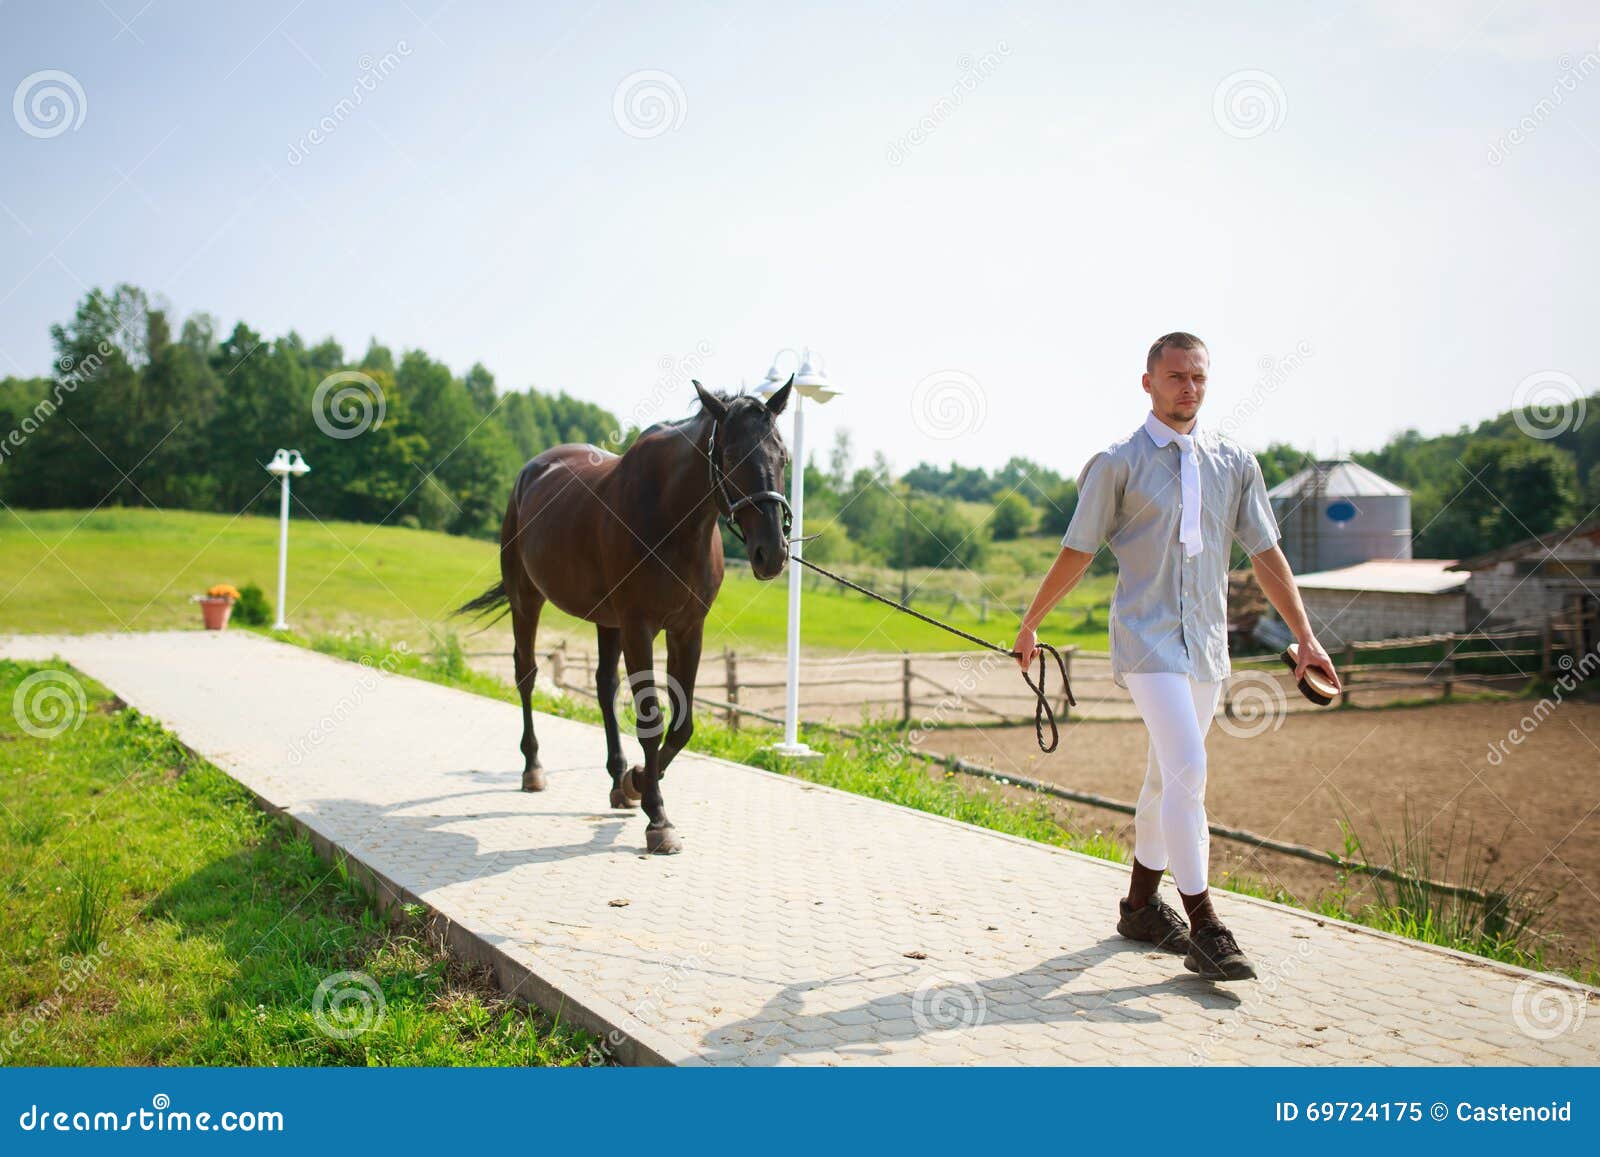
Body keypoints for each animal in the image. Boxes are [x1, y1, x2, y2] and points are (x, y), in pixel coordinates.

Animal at [456, 378, 794, 854]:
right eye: (729, 456)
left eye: (783, 457)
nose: (772, 553)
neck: (673, 519)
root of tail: (532, 472)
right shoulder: (639, 627)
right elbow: (652, 719)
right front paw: (658, 818)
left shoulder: (687, 629)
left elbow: (682, 724)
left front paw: (636, 780)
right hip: (527, 599)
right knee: (527, 674)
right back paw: (533, 767)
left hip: (606, 621)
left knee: (603, 686)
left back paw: (618, 779)